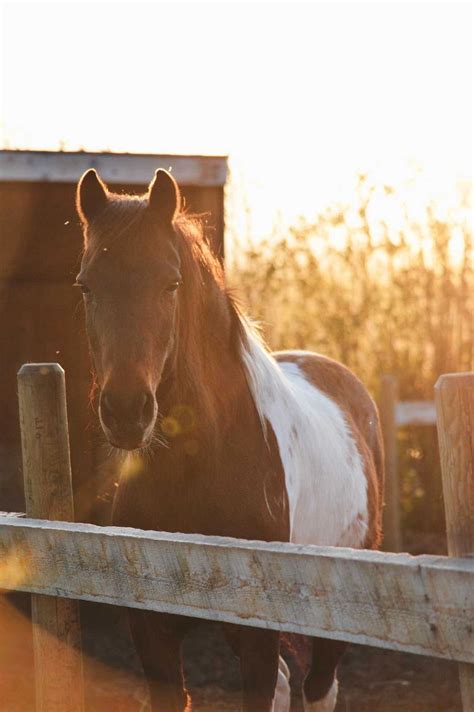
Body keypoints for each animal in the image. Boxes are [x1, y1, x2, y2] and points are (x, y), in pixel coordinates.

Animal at [75, 167, 384, 712]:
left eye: (171, 283)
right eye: (87, 286)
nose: (127, 411)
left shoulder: (257, 635)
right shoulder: (152, 634)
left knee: (318, 687)